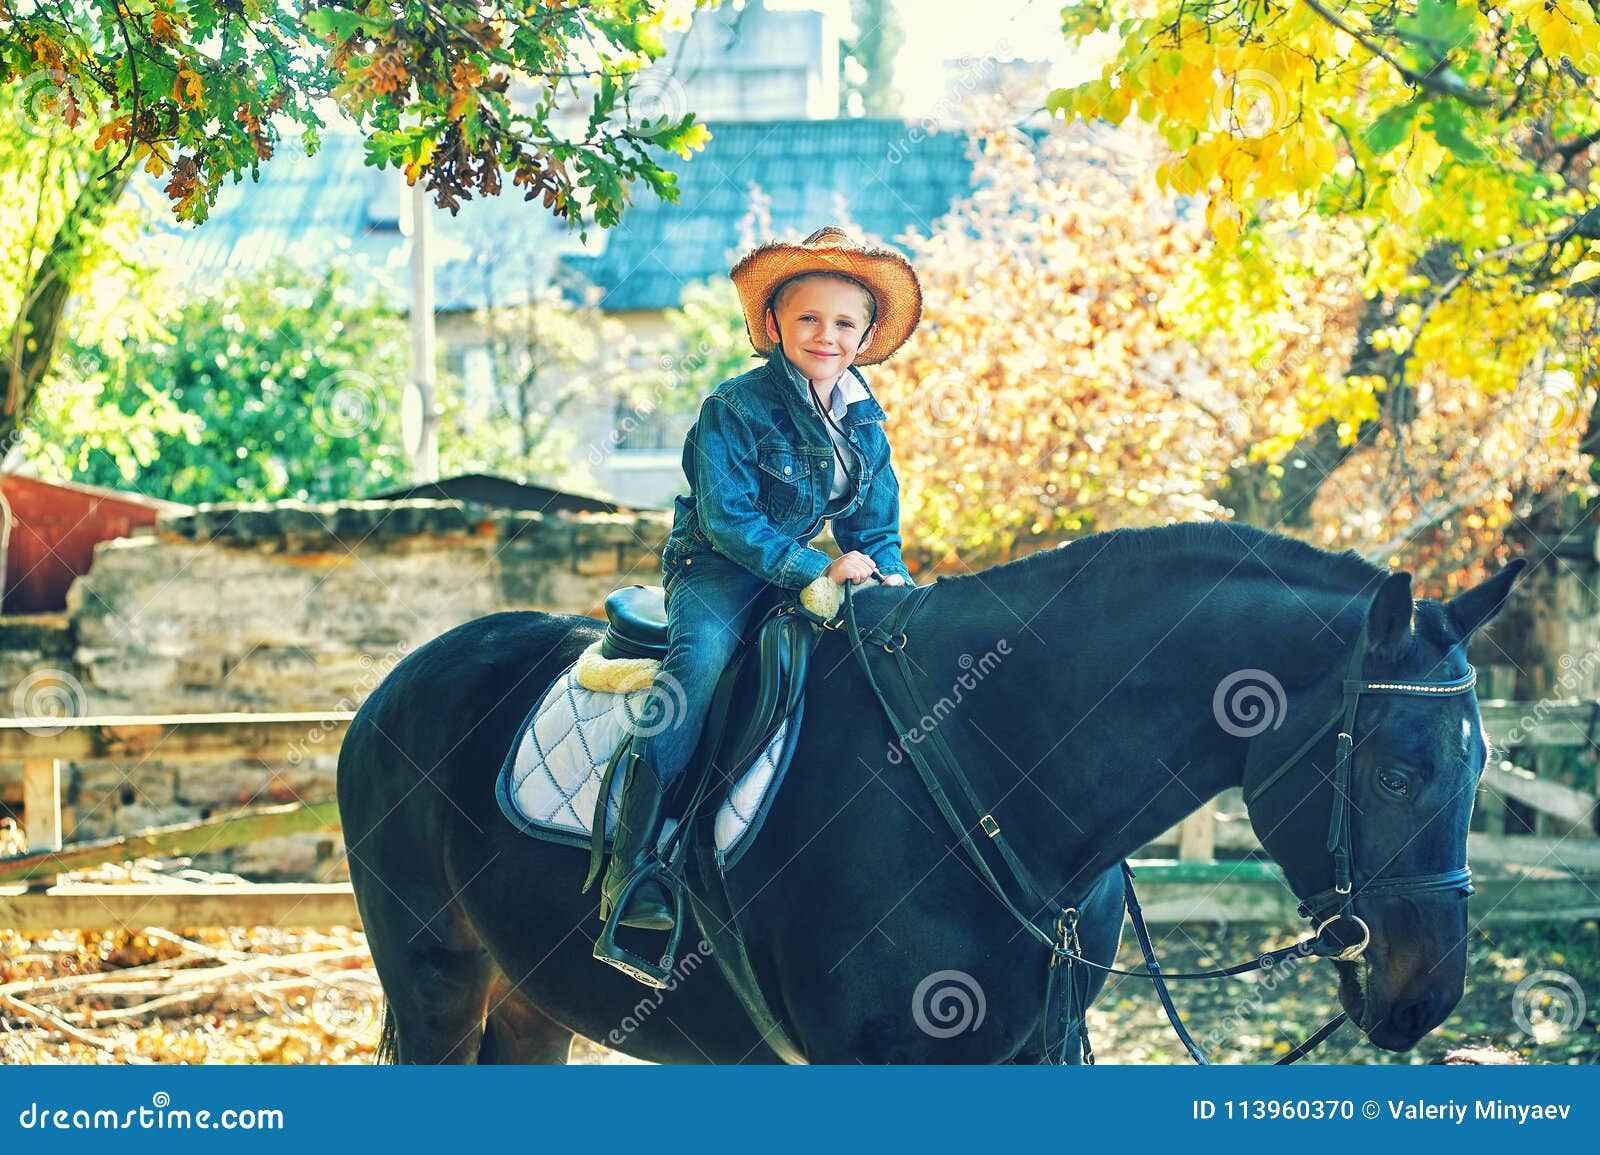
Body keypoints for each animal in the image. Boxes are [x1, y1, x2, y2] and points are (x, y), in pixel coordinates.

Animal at [335, 521, 1525, 1063]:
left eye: (1482, 766)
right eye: (1395, 772)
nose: (1425, 997)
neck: (990, 779)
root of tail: (396, 685)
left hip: (528, 1002)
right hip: (438, 985)